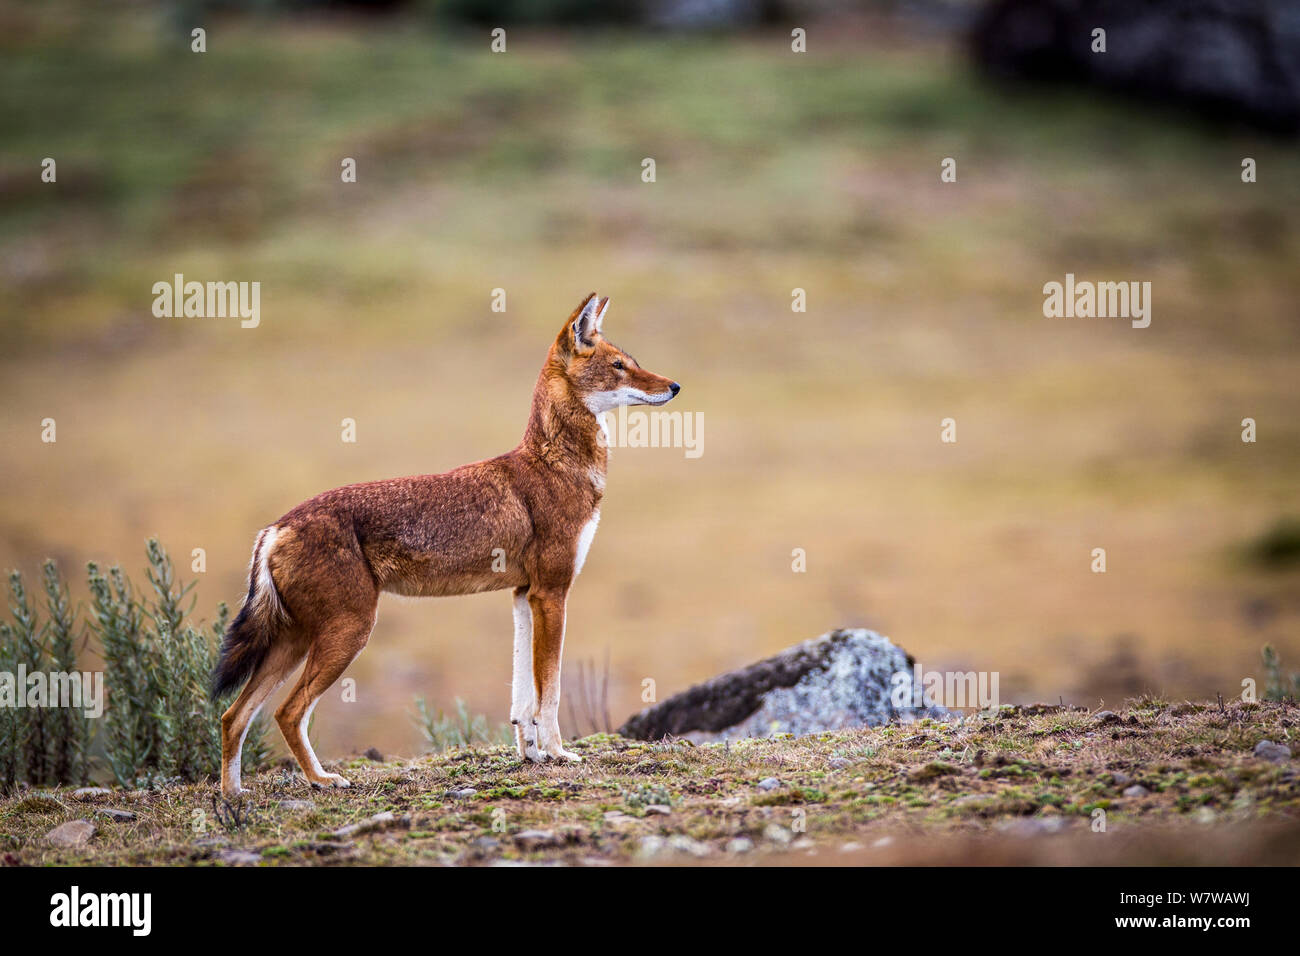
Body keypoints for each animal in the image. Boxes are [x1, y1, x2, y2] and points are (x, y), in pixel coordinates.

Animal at [211, 292, 680, 800]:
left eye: (633, 362)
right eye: (619, 366)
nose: (675, 386)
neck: (557, 463)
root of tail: (275, 527)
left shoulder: (523, 595)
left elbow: (522, 699)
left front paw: (531, 754)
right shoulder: (552, 594)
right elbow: (550, 691)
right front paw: (558, 753)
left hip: (295, 642)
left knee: (233, 716)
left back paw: (233, 797)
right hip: (347, 633)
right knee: (287, 712)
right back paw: (322, 780)